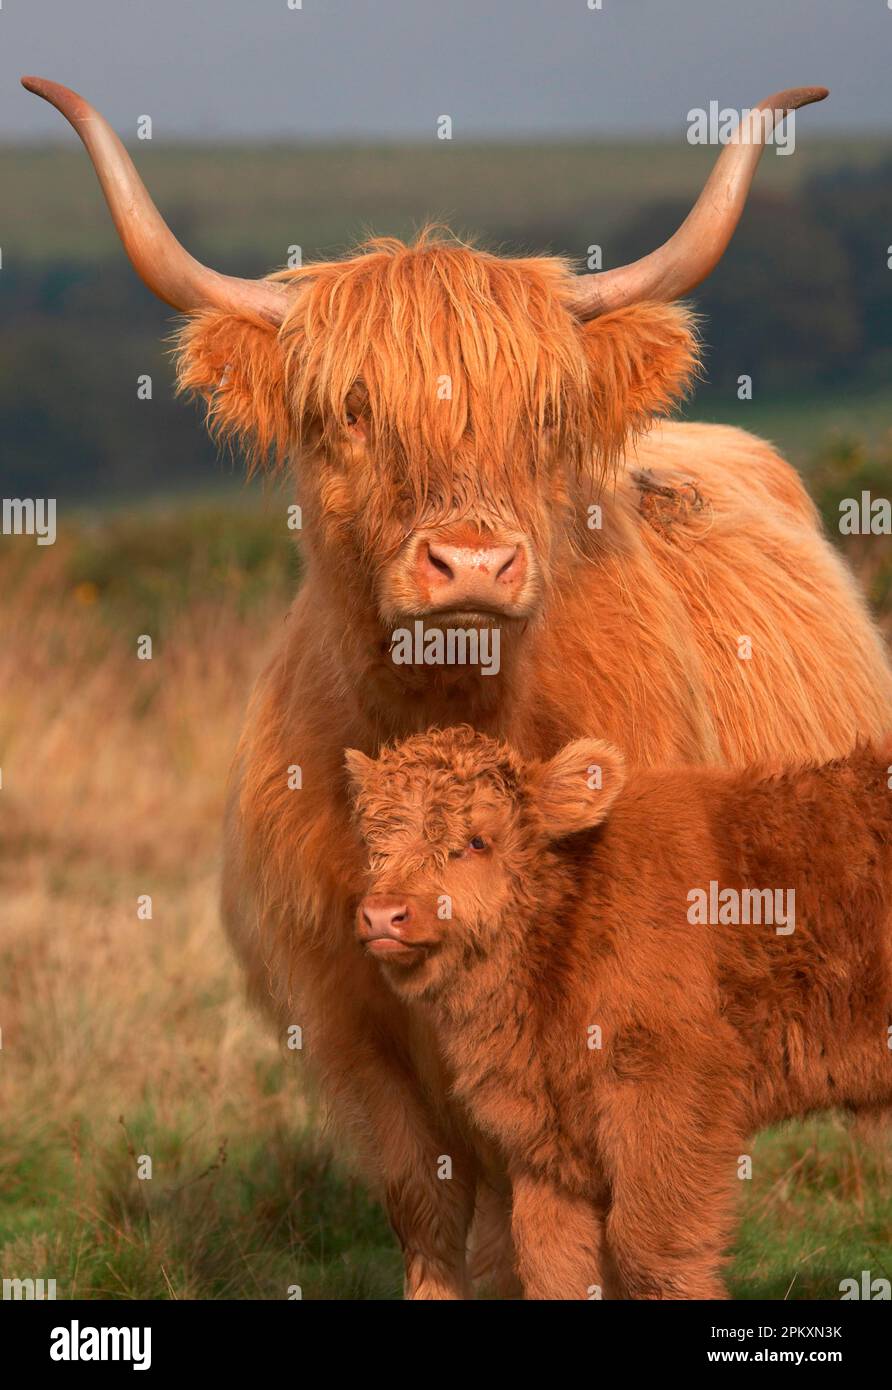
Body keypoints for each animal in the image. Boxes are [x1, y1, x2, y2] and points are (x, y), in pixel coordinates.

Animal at [347, 725, 892, 1299]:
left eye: (478, 841)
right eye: (372, 842)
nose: (383, 914)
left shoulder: (669, 1096)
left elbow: (650, 1249)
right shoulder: (546, 1145)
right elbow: (549, 1259)